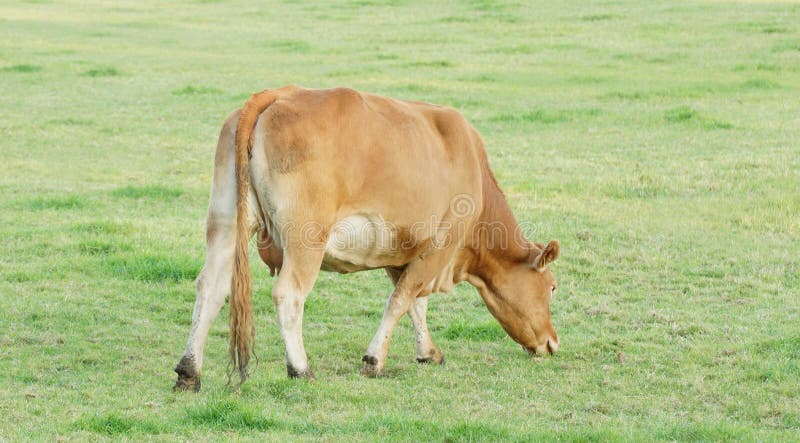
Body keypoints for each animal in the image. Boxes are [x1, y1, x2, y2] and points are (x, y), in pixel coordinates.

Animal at [173, 85, 560, 391]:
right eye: (552, 287)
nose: (553, 343)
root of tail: (279, 94)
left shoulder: (402, 253)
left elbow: (414, 303)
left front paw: (428, 352)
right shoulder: (437, 249)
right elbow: (400, 301)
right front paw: (375, 360)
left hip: (225, 221)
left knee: (210, 287)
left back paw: (189, 371)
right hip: (306, 239)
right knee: (288, 294)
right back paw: (300, 369)